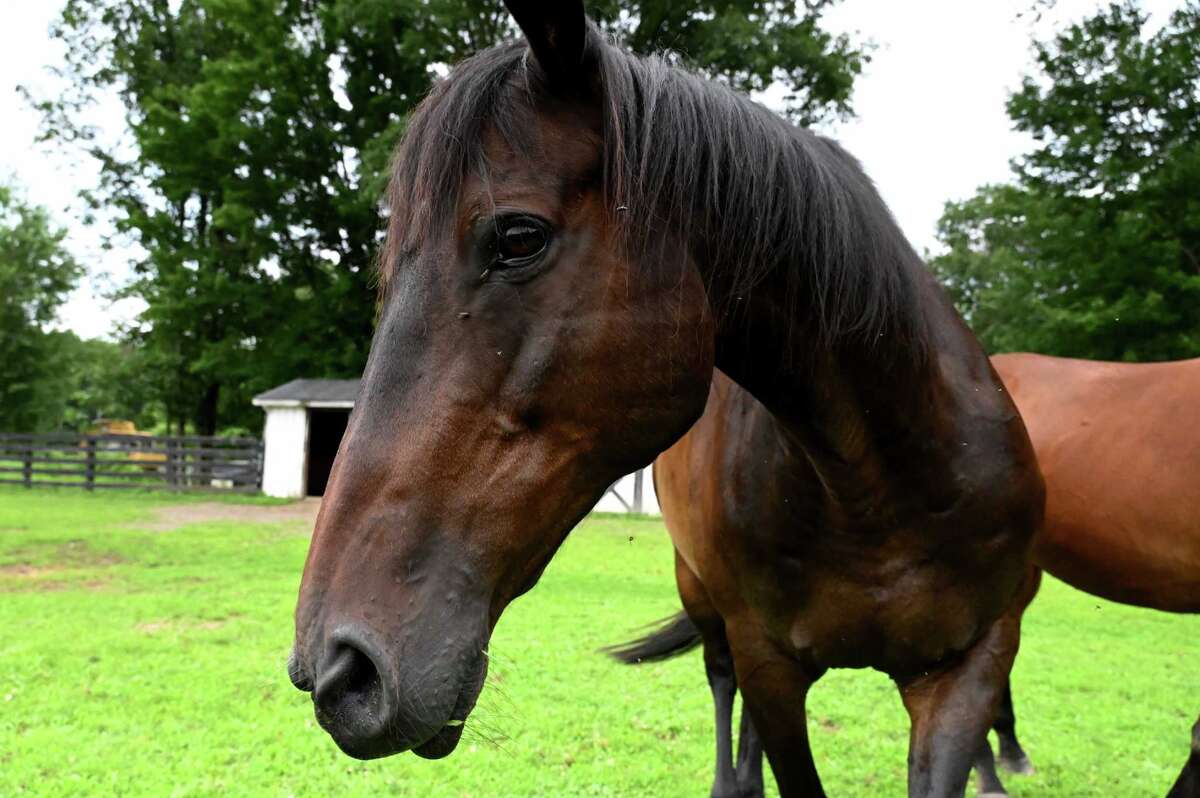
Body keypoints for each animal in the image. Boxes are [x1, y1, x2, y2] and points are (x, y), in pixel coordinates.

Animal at [285, 3, 1044, 795]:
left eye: (518, 236)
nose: (337, 668)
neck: (882, 485)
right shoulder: (770, 665)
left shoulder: (968, 670)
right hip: (704, 598)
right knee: (721, 682)